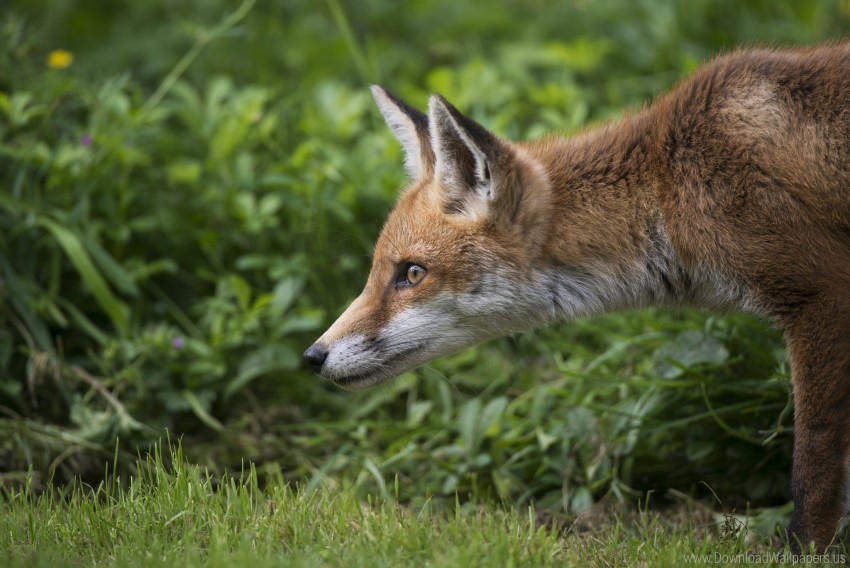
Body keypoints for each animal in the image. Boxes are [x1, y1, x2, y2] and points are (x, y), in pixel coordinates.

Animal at [304, 43, 850, 552]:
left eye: (412, 273)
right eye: (378, 271)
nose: (312, 356)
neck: (668, 185)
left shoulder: (820, 293)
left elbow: (814, 462)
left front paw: (803, 551)